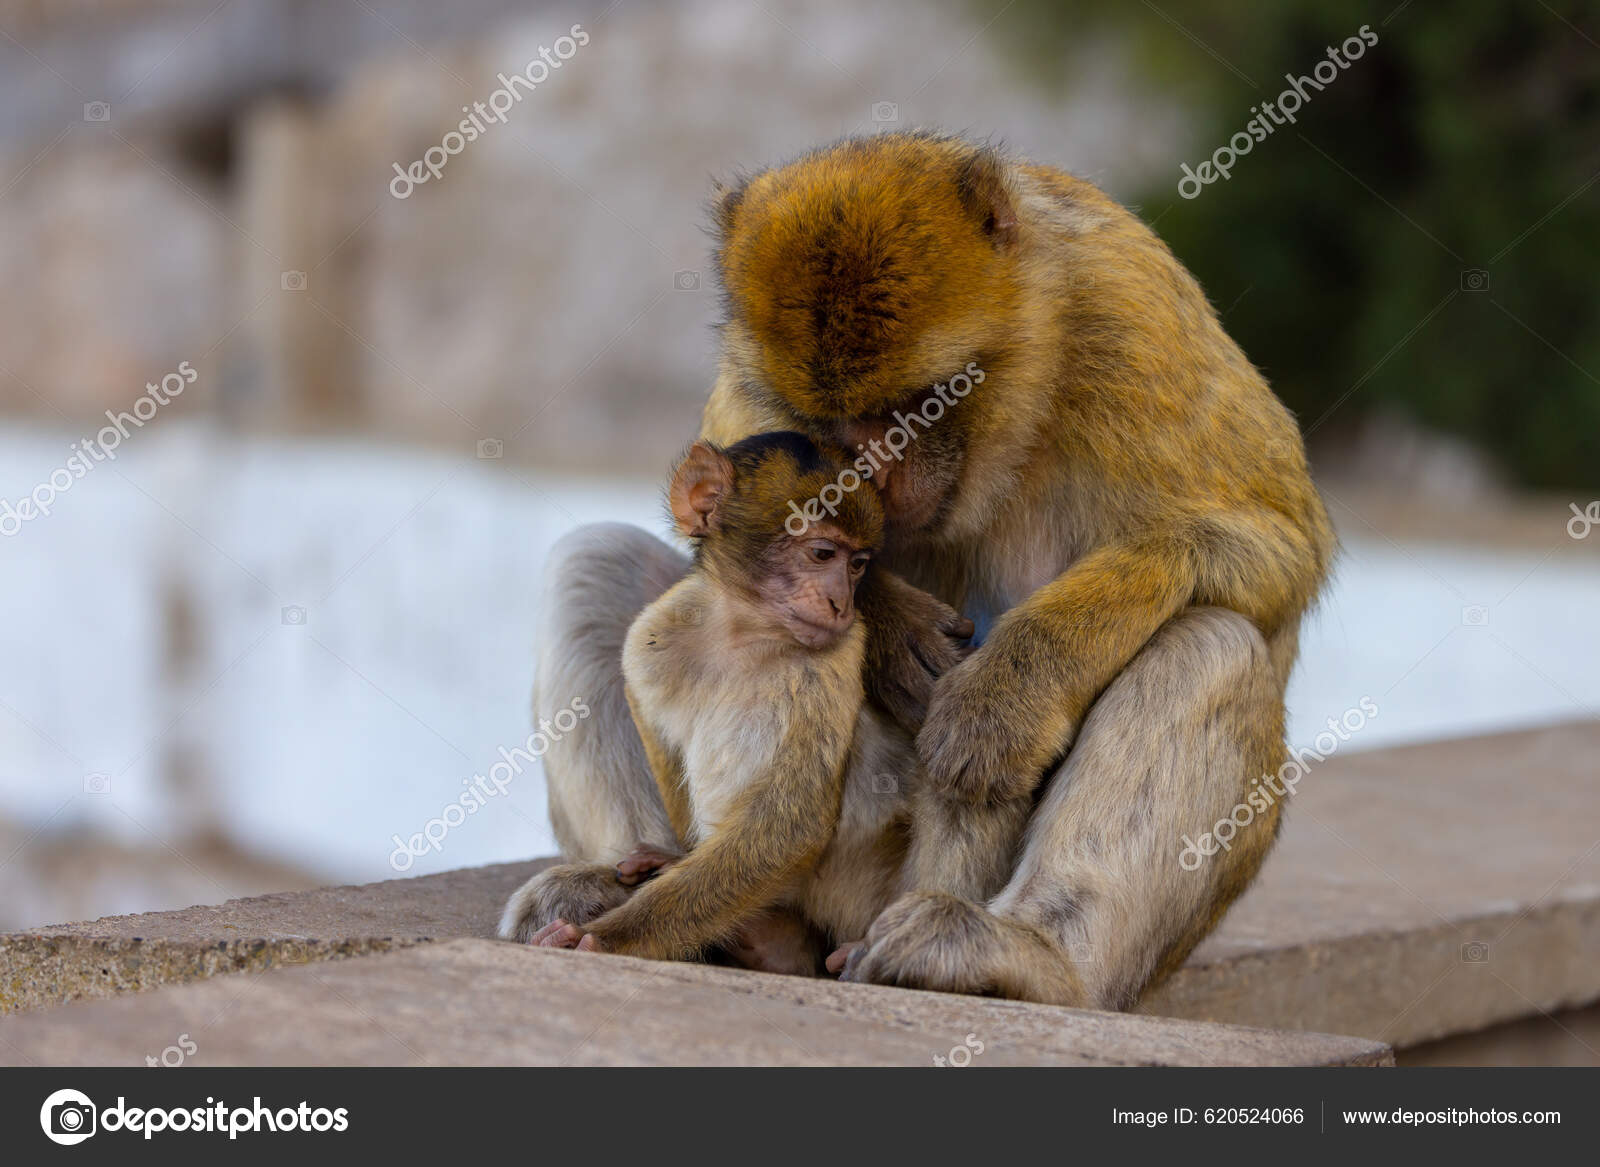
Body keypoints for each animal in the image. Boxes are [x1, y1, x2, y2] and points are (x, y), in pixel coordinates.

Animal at [523, 432, 938, 971]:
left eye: (858, 564)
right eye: (823, 553)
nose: (842, 604)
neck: (743, 632)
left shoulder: (835, 657)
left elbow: (791, 823)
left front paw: (605, 938)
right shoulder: (655, 630)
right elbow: (651, 717)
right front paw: (668, 860)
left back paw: (782, 943)